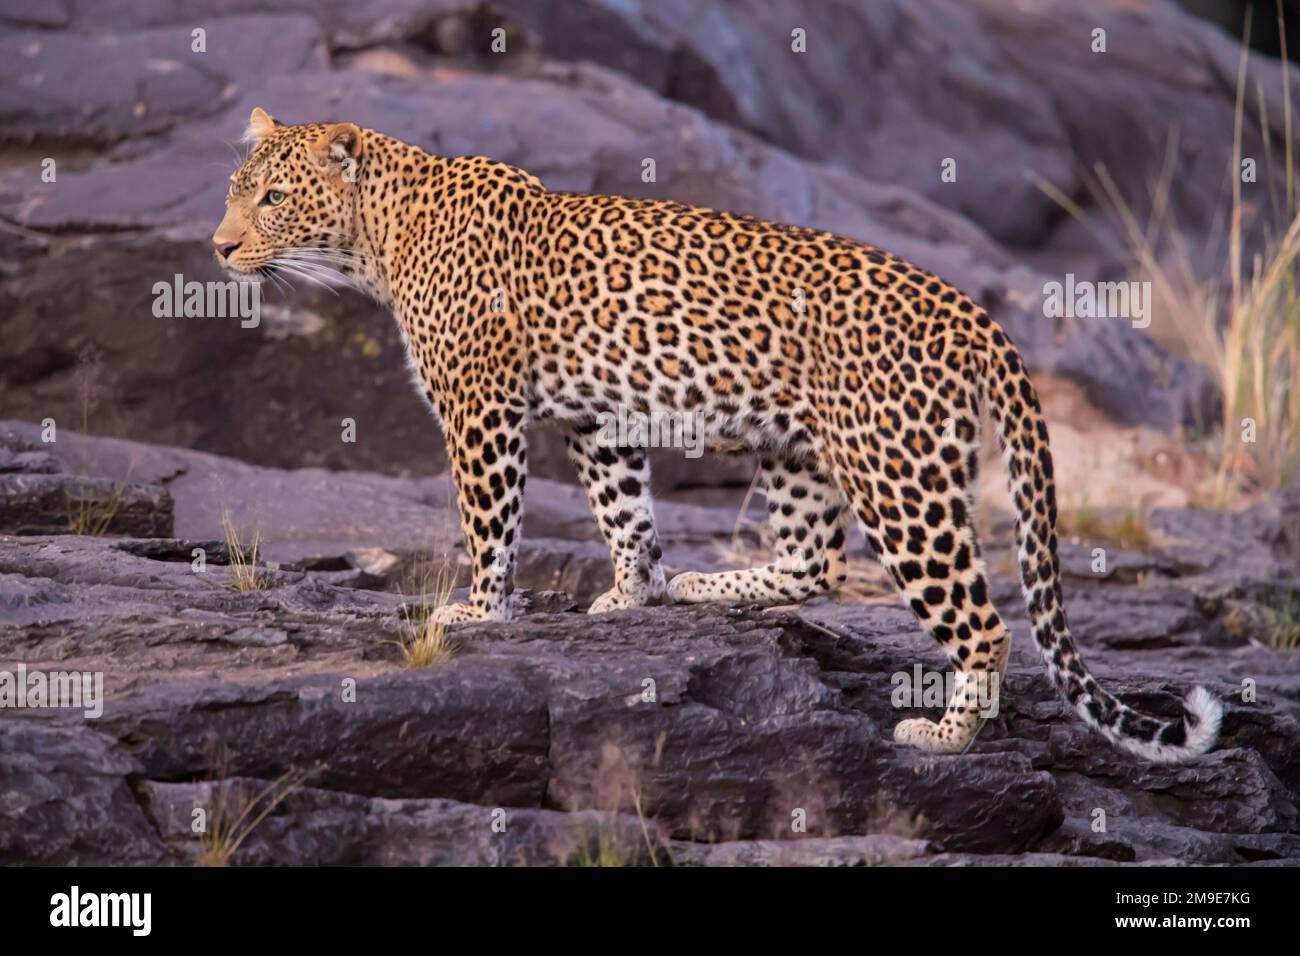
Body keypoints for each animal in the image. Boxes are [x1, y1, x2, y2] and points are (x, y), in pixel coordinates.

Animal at [211, 108, 1222, 763]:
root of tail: (977, 314)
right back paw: (708, 586)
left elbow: (489, 522)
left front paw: (476, 611)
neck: (376, 237)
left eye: (272, 198)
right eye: (235, 192)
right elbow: (624, 512)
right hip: (799, 450)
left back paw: (945, 733)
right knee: (815, 562)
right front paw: (635, 593)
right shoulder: (597, 415)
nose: (219, 248)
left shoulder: (480, 408)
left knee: (985, 622)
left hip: (900, 477)